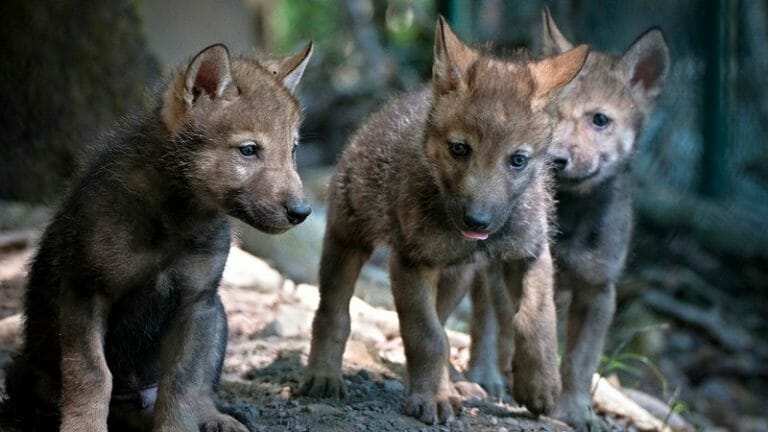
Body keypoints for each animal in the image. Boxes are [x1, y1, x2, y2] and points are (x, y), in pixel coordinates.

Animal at [1, 42, 313, 431]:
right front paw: (84, 427)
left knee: (200, 392)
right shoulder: (85, 292)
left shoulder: (196, 303)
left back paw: (218, 419)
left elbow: (182, 382)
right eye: (248, 150)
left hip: (218, 317)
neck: (176, 220)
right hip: (23, 373)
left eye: (294, 150)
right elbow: (92, 374)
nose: (302, 211)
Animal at [299, 16, 588, 425]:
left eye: (518, 160)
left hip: (457, 277)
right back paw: (323, 374)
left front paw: (540, 385)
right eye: (460, 149)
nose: (479, 221)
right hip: (347, 238)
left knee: (444, 317)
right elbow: (428, 336)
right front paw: (433, 397)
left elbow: (536, 319)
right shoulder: (411, 262)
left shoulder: (529, 253)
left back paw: (457, 381)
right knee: (333, 312)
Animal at [457, 9, 670, 430]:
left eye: (600, 119)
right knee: (485, 321)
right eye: (551, 116)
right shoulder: (516, 267)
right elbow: (515, 328)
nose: (556, 159)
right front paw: (530, 382)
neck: (569, 218)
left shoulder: (597, 289)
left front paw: (571, 409)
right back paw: (486, 374)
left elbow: (578, 361)